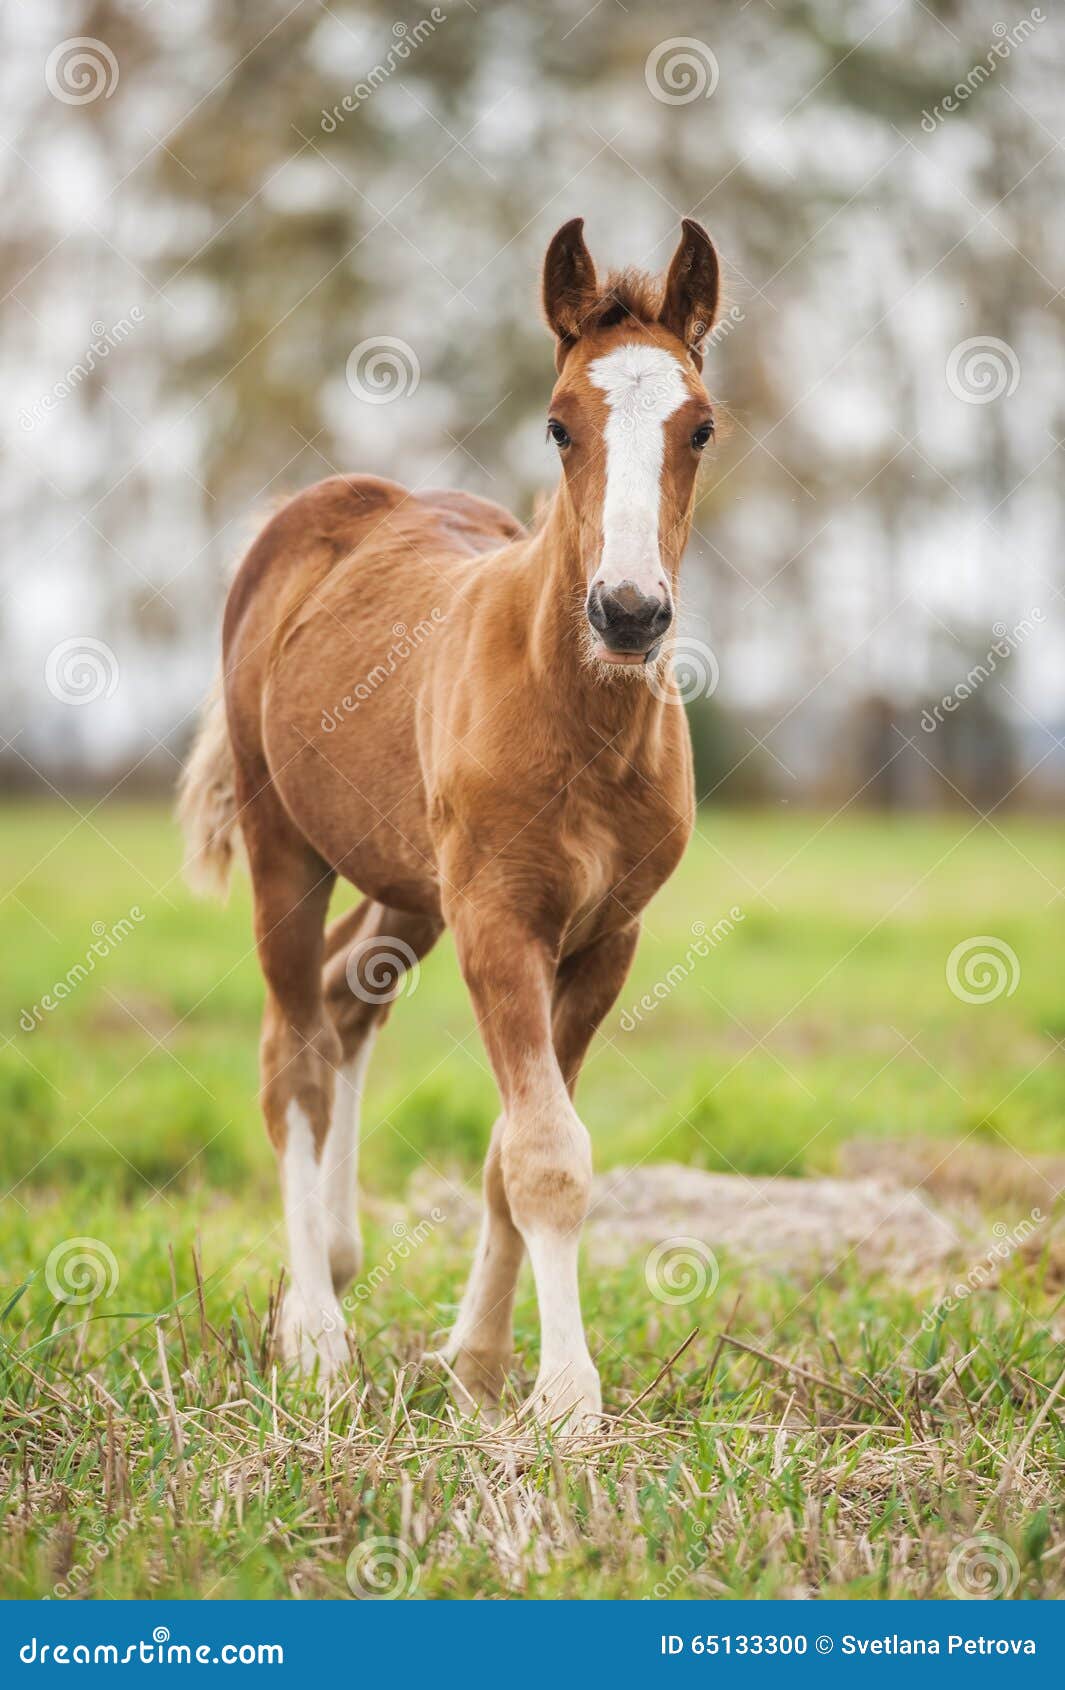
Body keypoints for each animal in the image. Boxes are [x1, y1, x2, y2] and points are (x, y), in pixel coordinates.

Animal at [179, 216, 721, 1432]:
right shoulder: (499, 922)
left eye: (701, 426)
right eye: (559, 423)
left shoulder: (604, 939)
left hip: (407, 882)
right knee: (292, 1049)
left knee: (347, 1000)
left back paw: (333, 1265)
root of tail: (324, 507)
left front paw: (475, 1363)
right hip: (291, 846)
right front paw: (567, 1400)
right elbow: (546, 1153)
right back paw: (316, 1335)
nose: (629, 612)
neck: (583, 720)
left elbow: (511, 1150)